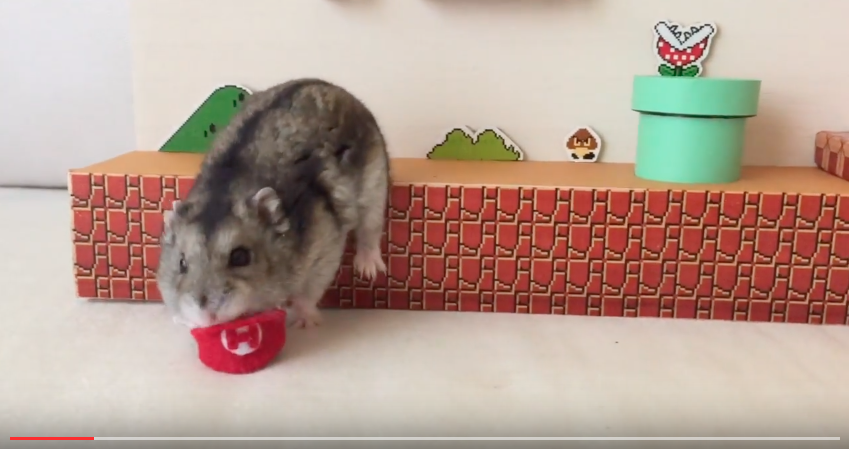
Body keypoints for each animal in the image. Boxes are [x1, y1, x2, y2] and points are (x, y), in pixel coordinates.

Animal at [156, 78, 389, 329]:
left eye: (240, 257)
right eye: (181, 263)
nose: (207, 316)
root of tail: (329, 85)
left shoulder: (324, 249)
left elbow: (308, 293)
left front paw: (303, 322)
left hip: (376, 184)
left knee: (370, 228)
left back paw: (368, 270)